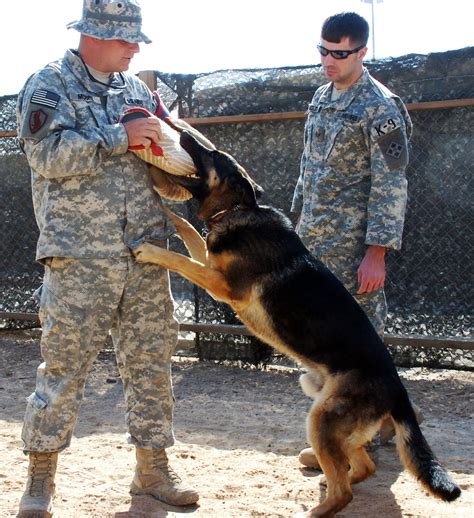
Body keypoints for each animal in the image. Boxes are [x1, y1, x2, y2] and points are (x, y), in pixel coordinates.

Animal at [133, 132, 460, 516]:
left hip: (321, 418)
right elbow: (188, 231)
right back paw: (335, 479)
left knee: (345, 490)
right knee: (363, 467)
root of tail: (398, 389)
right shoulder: (213, 267)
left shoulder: (223, 286)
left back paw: (317, 507)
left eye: (212, 154)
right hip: (320, 403)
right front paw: (166, 213)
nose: (183, 134)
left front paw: (151, 251)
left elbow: (181, 259)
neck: (239, 210)